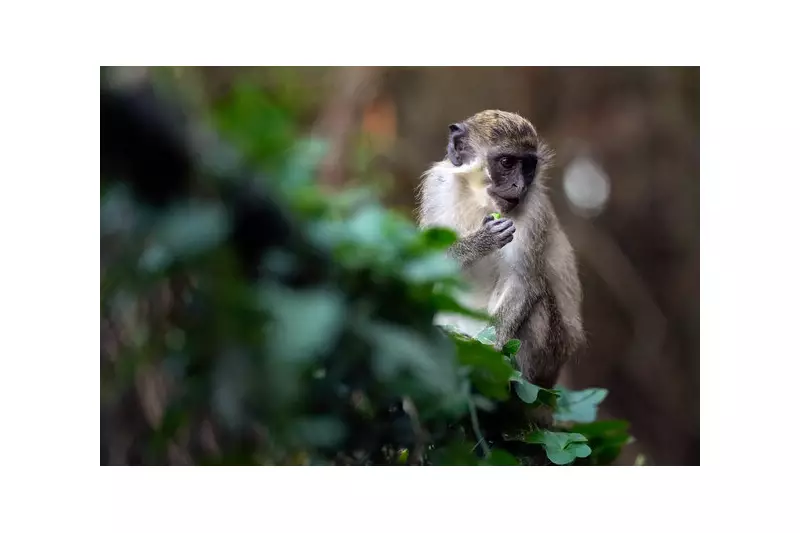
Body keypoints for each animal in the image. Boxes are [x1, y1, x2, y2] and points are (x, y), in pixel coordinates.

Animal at [416, 110, 585, 396]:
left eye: (527, 166)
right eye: (506, 162)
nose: (518, 185)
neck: (480, 200)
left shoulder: (533, 209)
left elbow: (523, 282)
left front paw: (485, 355)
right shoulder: (436, 188)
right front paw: (480, 241)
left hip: (546, 358)